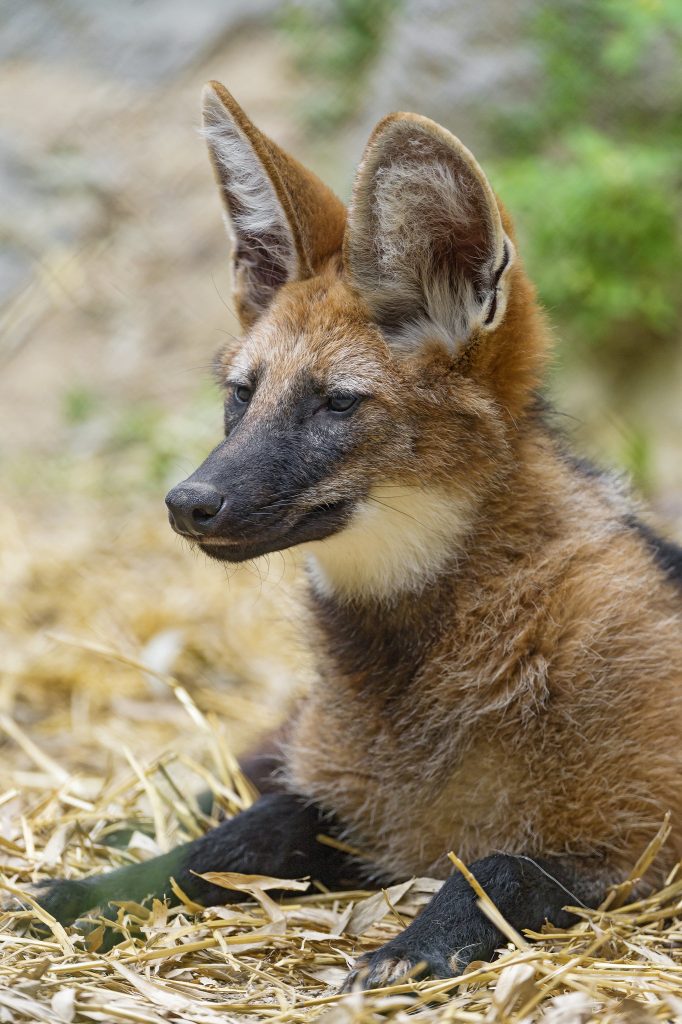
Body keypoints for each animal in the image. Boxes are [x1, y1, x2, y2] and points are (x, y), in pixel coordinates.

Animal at [34, 82, 682, 989]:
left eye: (336, 404)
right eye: (242, 395)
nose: (189, 502)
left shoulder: (641, 842)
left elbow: (502, 865)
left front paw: (407, 951)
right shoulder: (352, 802)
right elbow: (248, 829)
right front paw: (95, 889)